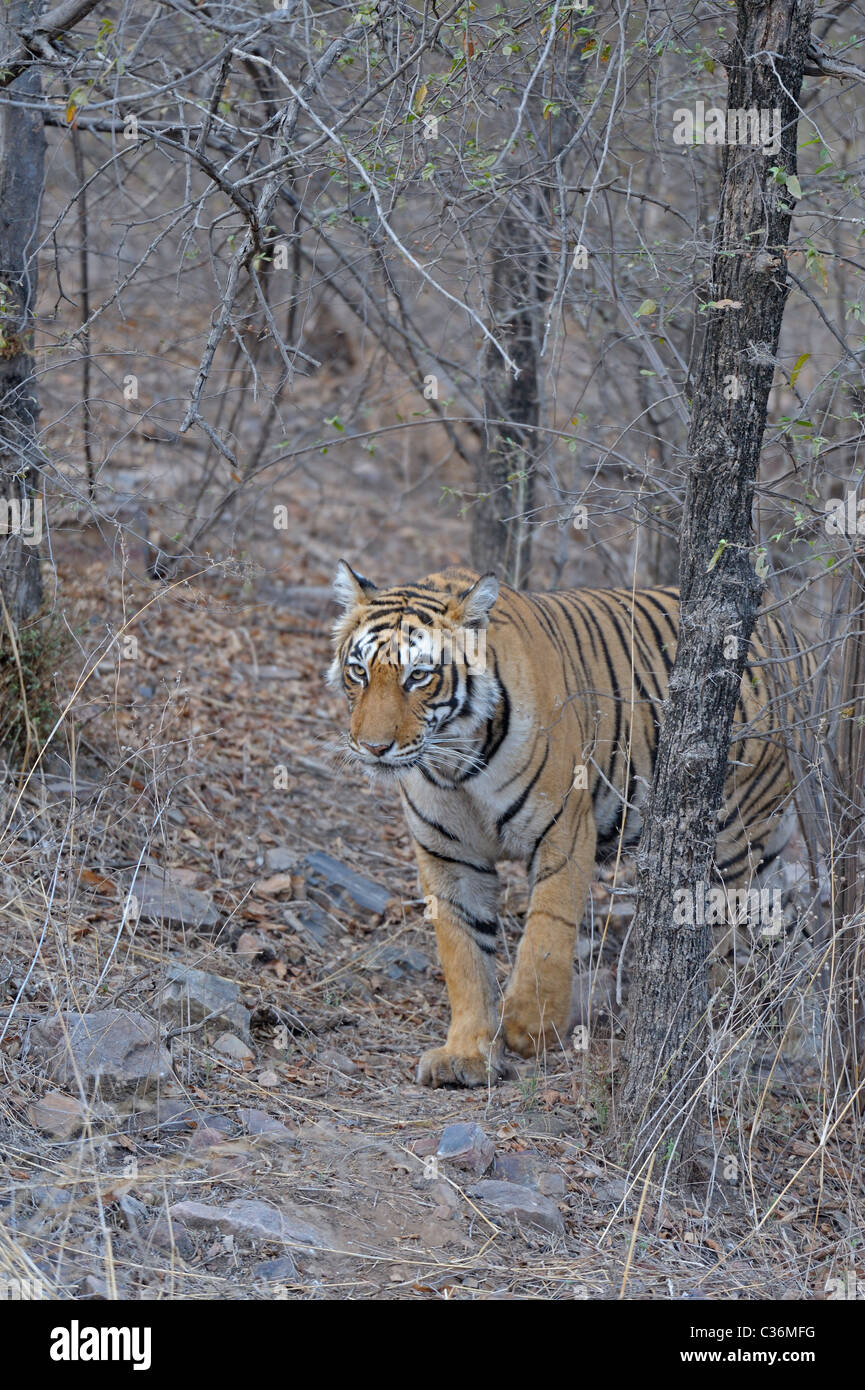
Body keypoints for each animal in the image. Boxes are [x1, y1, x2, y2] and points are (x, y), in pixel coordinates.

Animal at [329, 560, 807, 1088]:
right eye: (358, 671)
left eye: (418, 676)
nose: (373, 748)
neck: (454, 762)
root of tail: (781, 626)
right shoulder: (448, 854)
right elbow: (463, 954)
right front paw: (467, 1054)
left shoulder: (562, 830)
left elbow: (546, 932)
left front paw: (528, 1027)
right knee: (791, 936)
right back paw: (798, 1040)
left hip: (730, 842)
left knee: (726, 949)